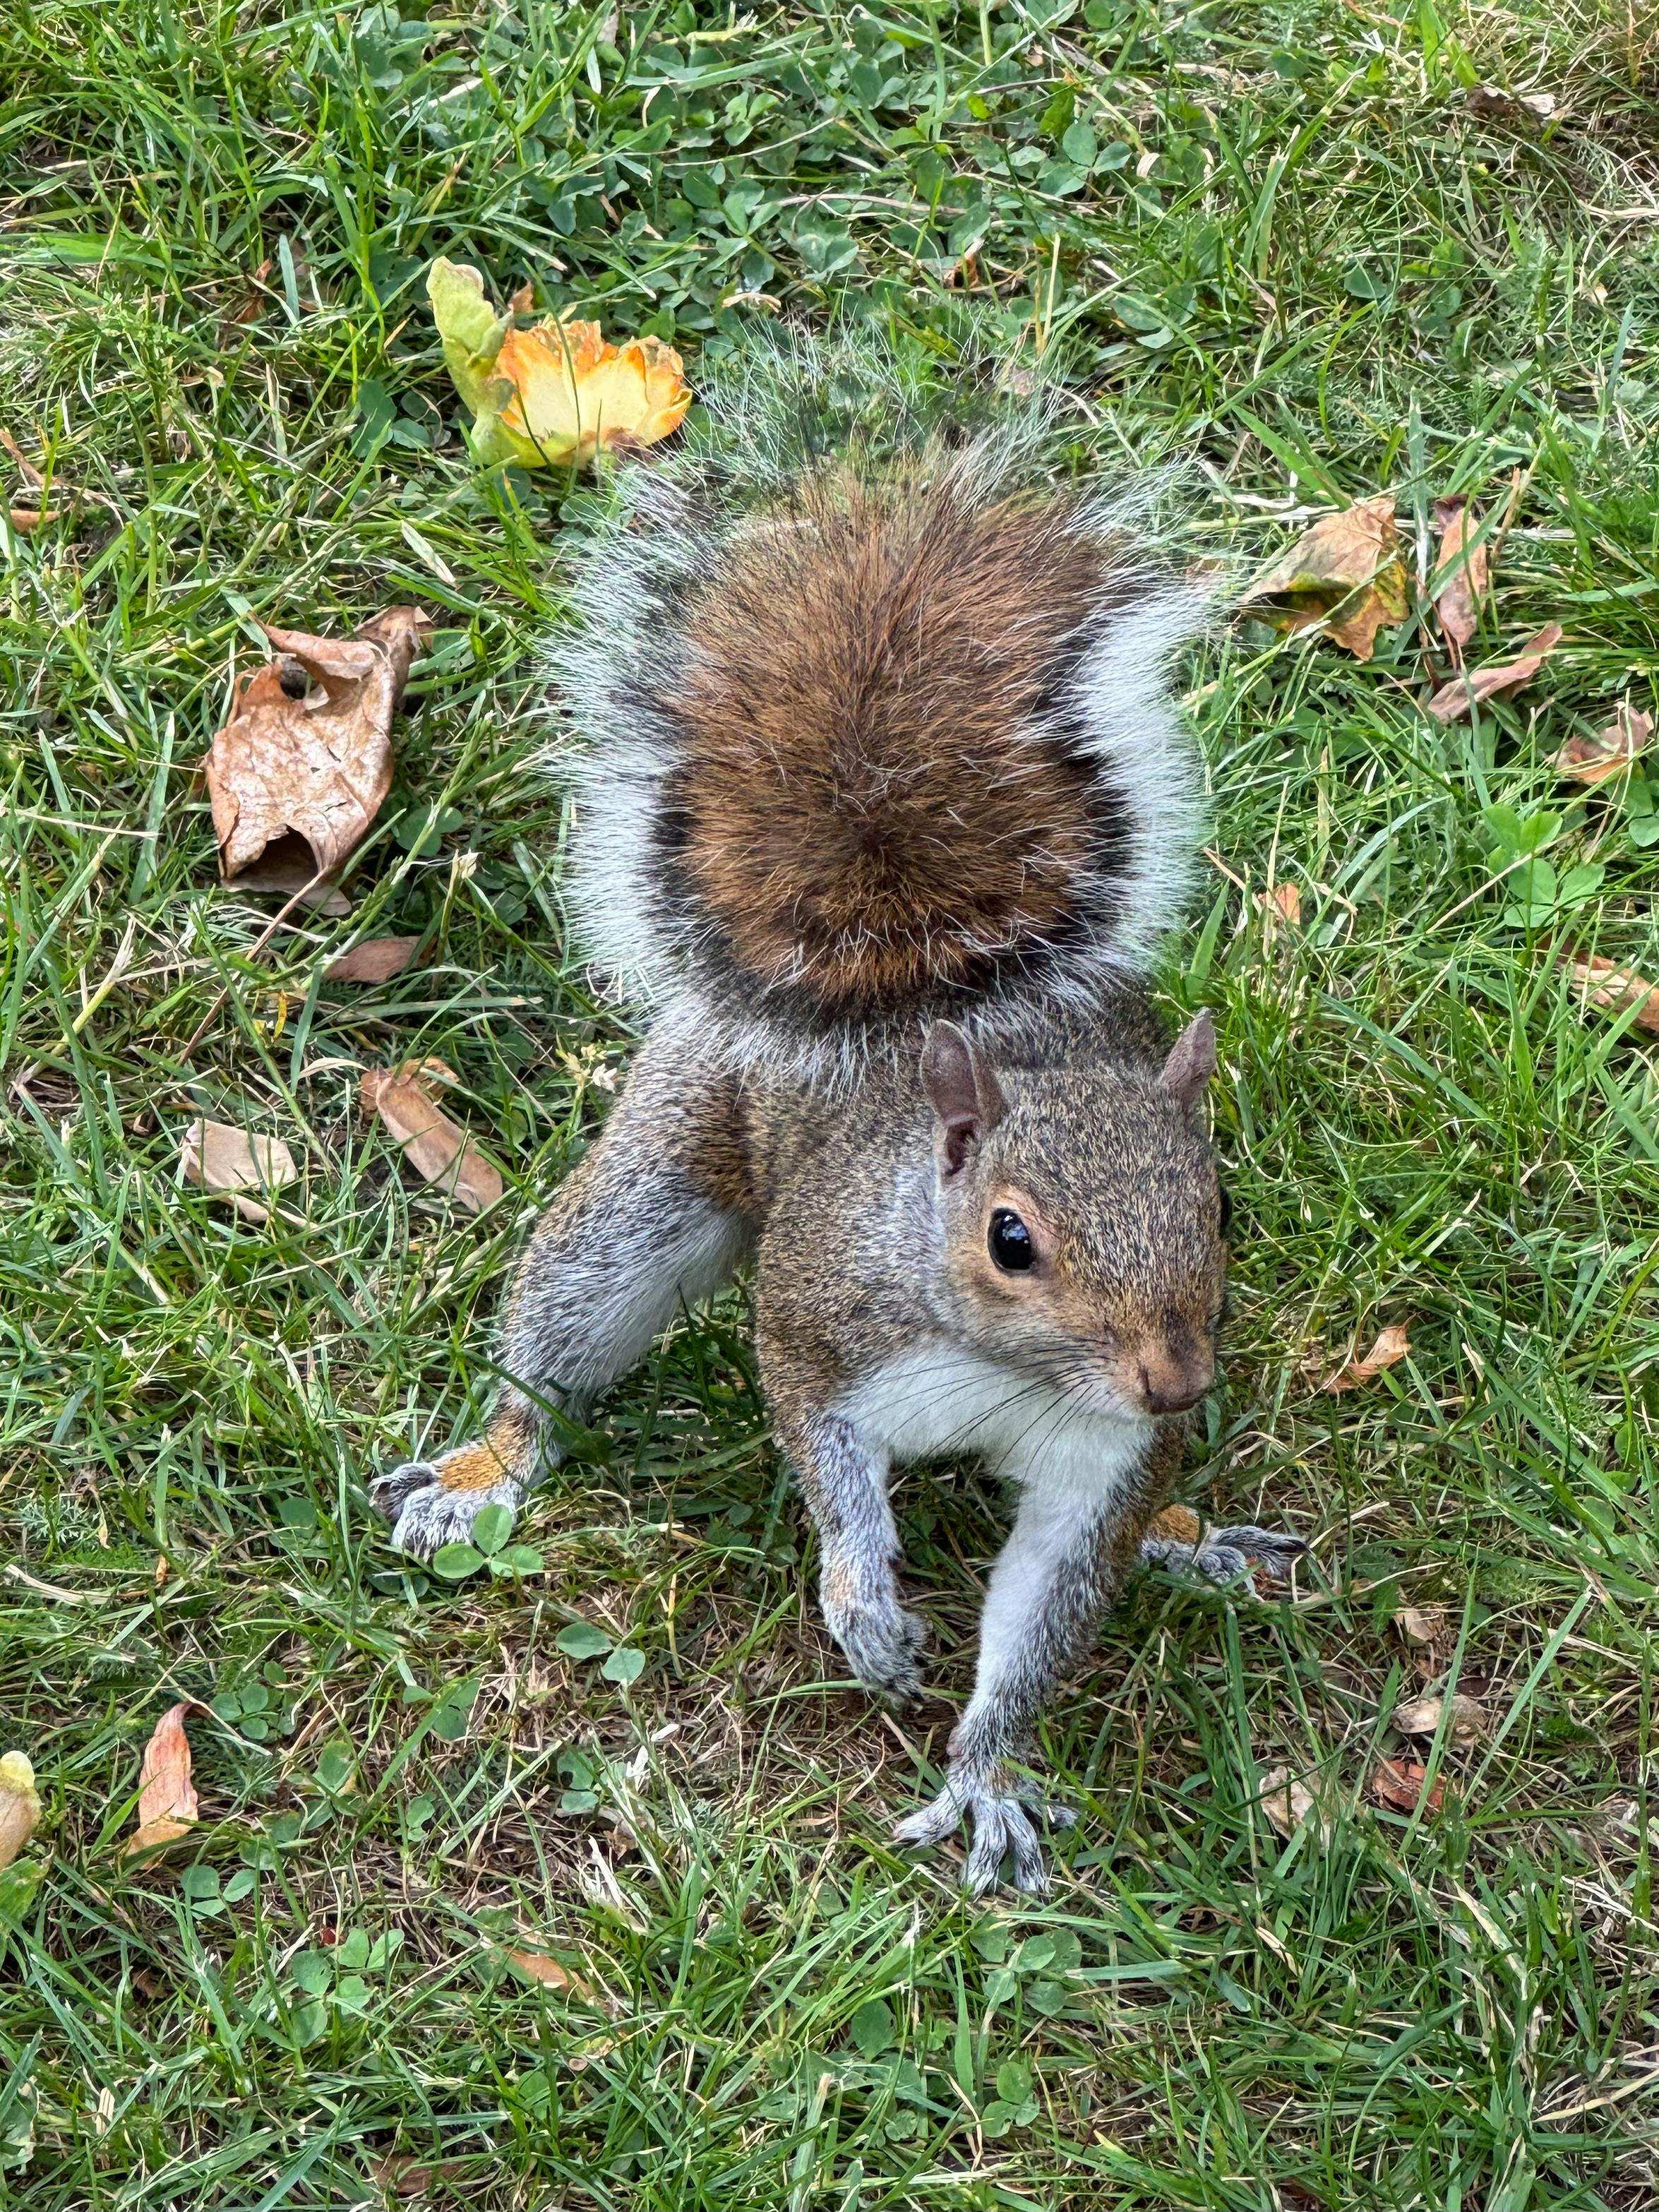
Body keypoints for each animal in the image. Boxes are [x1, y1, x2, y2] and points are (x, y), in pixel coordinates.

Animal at [372, 364, 1305, 1894]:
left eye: (1220, 1207)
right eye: (1008, 1238)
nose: (1175, 1384)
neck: (1005, 1371)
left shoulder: (1094, 1468)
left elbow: (1049, 1604)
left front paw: (987, 1770)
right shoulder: (823, 1317)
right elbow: (815, 1439)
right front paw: (866, 1604)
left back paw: (1194, 1541)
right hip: (662, 1169)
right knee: (565, 1331)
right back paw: (486, 1469)